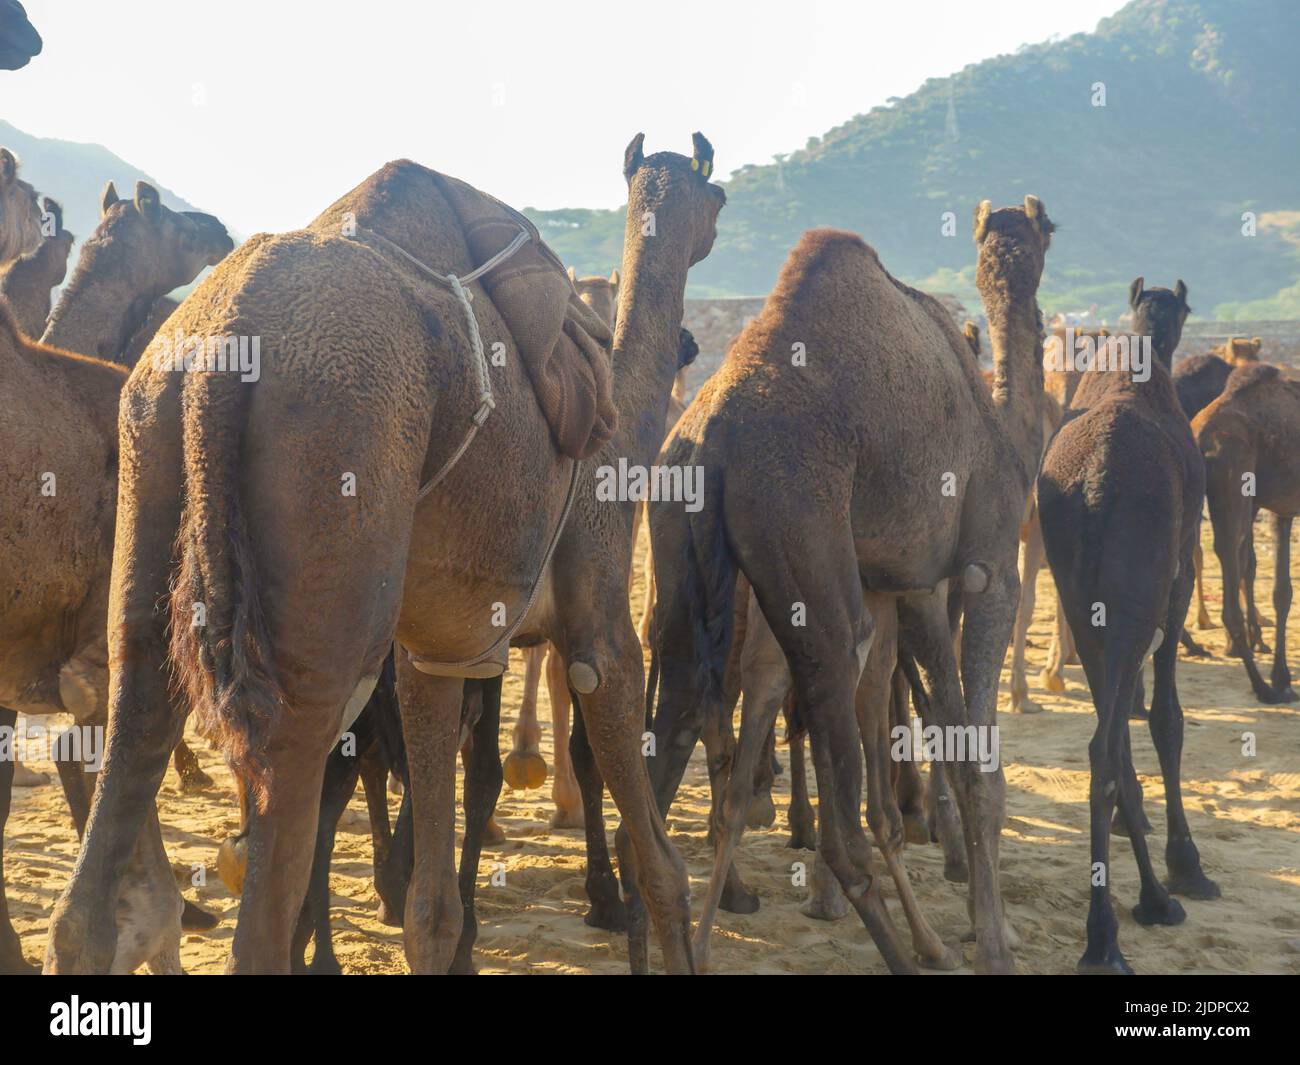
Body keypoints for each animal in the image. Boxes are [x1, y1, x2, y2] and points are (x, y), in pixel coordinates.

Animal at [46, 136, 724, 975]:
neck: (624, 419)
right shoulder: (597, 595)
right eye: (717, 196)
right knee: (293, 768)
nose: (693, 342)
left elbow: (434, 900)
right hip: (334, 489)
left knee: (134, 713)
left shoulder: (441, 644)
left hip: (150, 450)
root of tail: (226, 338)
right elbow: (657, 851)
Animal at [640, 198, 1052, 974]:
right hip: (803, 527)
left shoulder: (900, 583)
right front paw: (996, 942)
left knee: (666, 742)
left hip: (676, 536)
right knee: (840, 819)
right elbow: (977, 766)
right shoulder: (982, 567)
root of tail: (709, 436)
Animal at [1038, 278, 1220, 974]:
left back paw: (1137, 906)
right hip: (1136, 594)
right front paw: (1187, 864)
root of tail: (1093, 481)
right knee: (1106, 744)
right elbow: (1167, 718)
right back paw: (1113, 932)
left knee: (1106, 742)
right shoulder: (1178, 572)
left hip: (1079, 596)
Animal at [1193, 363, 1300, 704]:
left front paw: (1281, 675)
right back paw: (1262, 688)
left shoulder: (1278, 507)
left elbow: (1279, 589)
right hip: (1233, 484)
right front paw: (1280, 679)